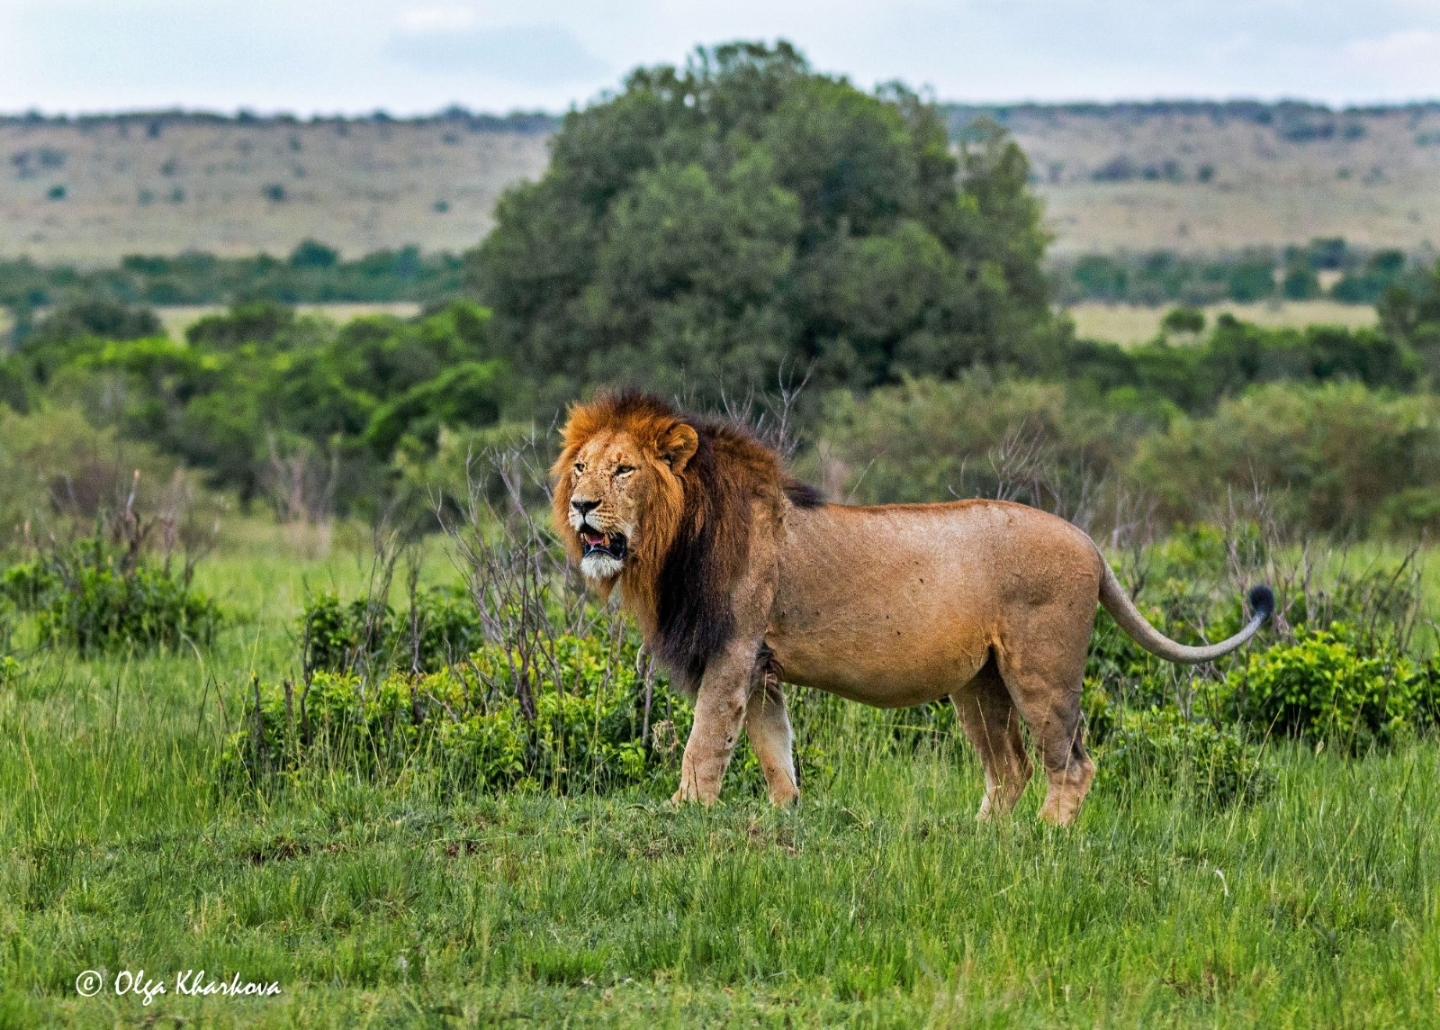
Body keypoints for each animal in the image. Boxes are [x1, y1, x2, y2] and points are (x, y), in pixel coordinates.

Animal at [550, 391, 1272, 824]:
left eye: (624, 471)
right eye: (581, 467)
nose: (581, 507)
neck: (672, 540)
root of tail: (1089, 541)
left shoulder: (731, 651)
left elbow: (705, 744)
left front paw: (684, 810)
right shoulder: (758, 665)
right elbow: (772, 746)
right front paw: (787, 815)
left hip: (1043, 669)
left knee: (1072, 764)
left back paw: (1045, 838)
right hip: (980, 684)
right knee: (1009, 769)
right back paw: (983, 839)